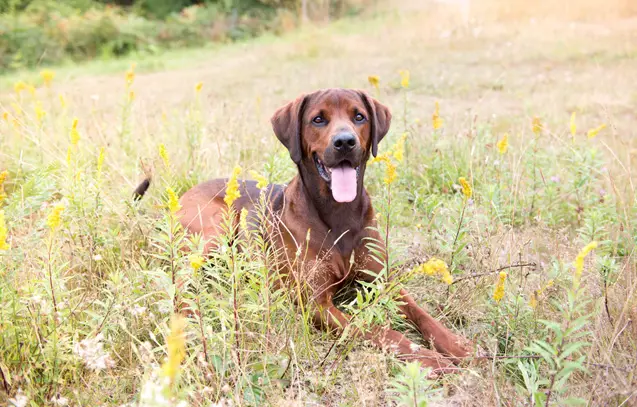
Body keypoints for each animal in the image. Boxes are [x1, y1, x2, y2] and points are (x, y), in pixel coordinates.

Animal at [137, 87, 470, 374]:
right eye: (318, 119)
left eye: (359, 116)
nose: (345, 142)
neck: (339, 215)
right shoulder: (316, 304)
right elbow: (377, 329)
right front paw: (428, 358)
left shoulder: (383, 280)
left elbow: (421, 313)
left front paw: (457, 345)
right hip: (214, 229)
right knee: (180, 282)